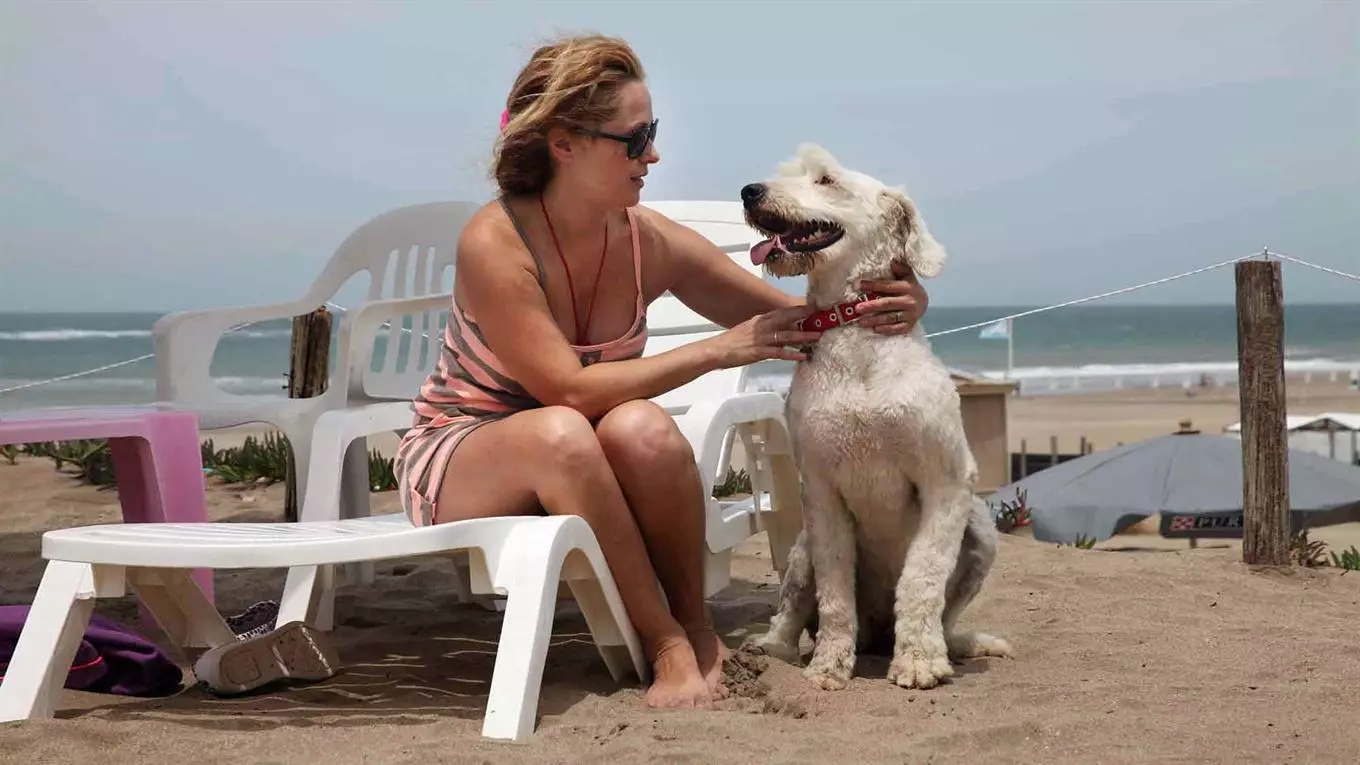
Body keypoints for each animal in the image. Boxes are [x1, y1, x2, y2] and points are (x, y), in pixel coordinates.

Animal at [745, 144, 1011, 691]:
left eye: (826, 179)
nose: (749, 191)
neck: (854, 335)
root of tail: (878, 633)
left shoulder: (947, 481)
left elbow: (922, 579)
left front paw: (920, 661)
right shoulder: (821, 492)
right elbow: (833, 594)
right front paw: (829, 665)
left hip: (981, 531)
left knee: (945, 614)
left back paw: (951, 644)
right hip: (801, 549)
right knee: (793, 607)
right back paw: (775, 648)